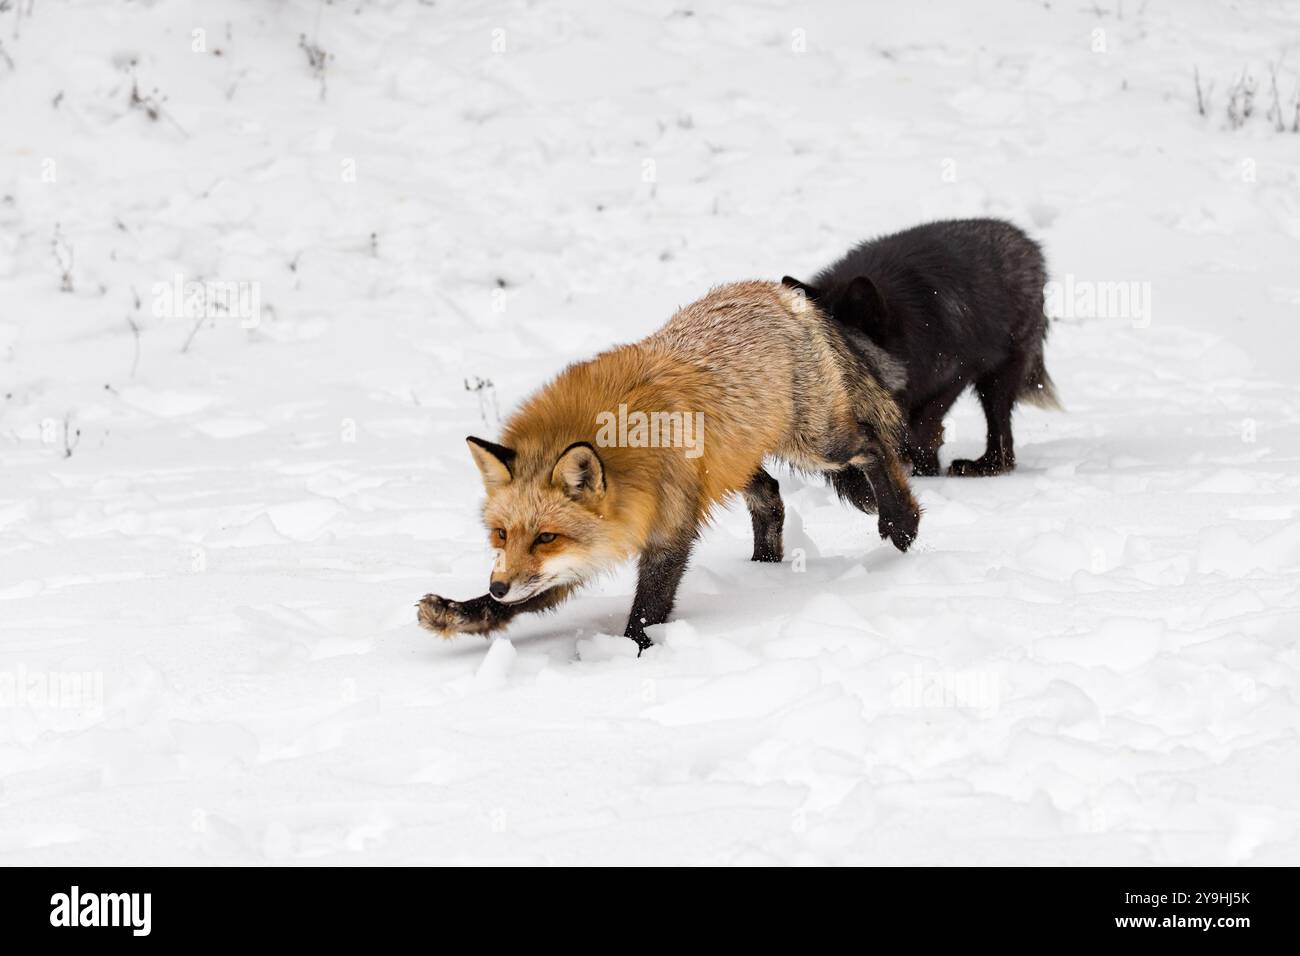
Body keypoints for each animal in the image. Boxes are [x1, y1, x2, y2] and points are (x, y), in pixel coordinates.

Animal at [417, 280, 920, 653]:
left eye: (546, 537)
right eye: (501, 534)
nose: (498, 586)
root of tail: (779, 291)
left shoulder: (668, 527)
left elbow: (649, 604)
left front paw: (633, 652)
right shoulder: (588, 548)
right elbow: (529, 597)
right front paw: (462, 612)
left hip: (818, 443)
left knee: (872, 446)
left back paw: (901, 520)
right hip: (734, 463)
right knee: (771, 495)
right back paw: (764, 572)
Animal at [782, 218, 1060, 479]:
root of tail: (1026, 242)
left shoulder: (956, 373)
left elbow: (921, 430)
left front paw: (926, 471)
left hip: (998, 378)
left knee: (1001, 435)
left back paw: (987, 466)